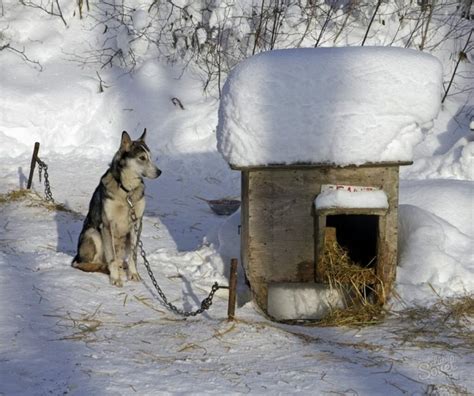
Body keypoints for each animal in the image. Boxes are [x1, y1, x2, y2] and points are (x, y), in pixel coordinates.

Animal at [72, 130, 161, 288]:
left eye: (150, 157)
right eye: (142, 158)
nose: (159, 172)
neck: (127, 191)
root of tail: (77, 257)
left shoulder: (137, 223)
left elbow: (133, 256)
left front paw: (134, 274)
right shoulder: (107, 224)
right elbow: (111, 258)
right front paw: (115, 278)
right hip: (94, 233)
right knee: (85, 264)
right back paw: (104, 268)